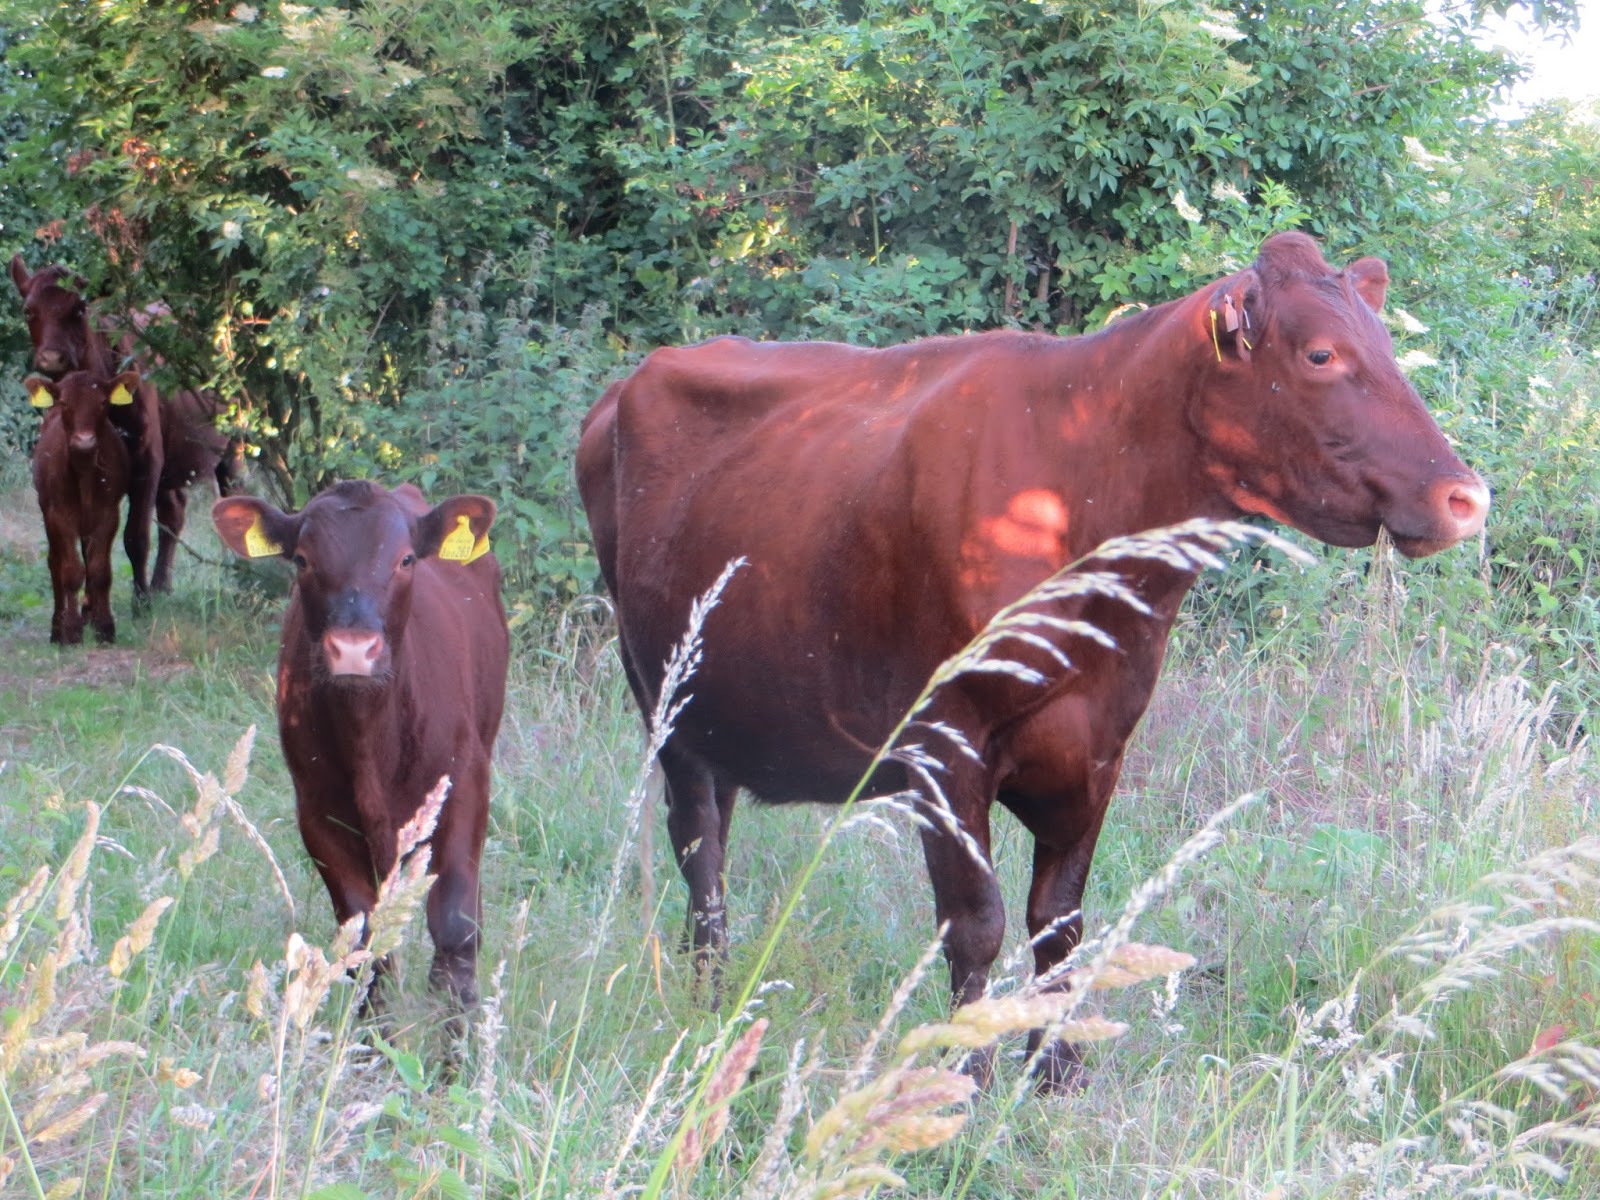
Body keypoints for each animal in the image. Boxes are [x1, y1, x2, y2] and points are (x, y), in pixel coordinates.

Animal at [10, 254, 239, 598]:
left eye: (79, 309)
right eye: (28, 310)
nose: (51, 358)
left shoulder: (146, 459)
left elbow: (136, 536)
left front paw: (139, 600)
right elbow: (88, 542)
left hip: (235, 439)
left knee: (234, 495)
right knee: (174, 511)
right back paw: (162, 584)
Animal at [27, 370, 139, 645]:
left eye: (102, 403)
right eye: (64, 403)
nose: (85, 441)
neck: (85, 471)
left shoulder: (109, 514)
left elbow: (100, 570)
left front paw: (105, 627)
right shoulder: (59, 515)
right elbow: (70, 570)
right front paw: (71, 630)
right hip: (47, 512)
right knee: (55, 562)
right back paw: (57, 628)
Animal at [211, 481, 509, 1022]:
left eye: (406, 559)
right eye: (302, 559)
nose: (353, 648)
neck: (371, 738)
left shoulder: (465, 786)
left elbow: (456, 926)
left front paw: (456, 1039)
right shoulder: (318, 812)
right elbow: (364, 939)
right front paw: (375, 1037)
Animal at [576, 232, 1491, 1089]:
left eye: (1382, 339)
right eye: (1320, 354)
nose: (1465, 496)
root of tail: (630, 383)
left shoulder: (1100, 745)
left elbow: (1060, 916)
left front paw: (1057, 1070)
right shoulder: (944, 742)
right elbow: (974, 922)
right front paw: (966, 1074)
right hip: (663, 701)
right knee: (700, 850)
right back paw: (709, 998)